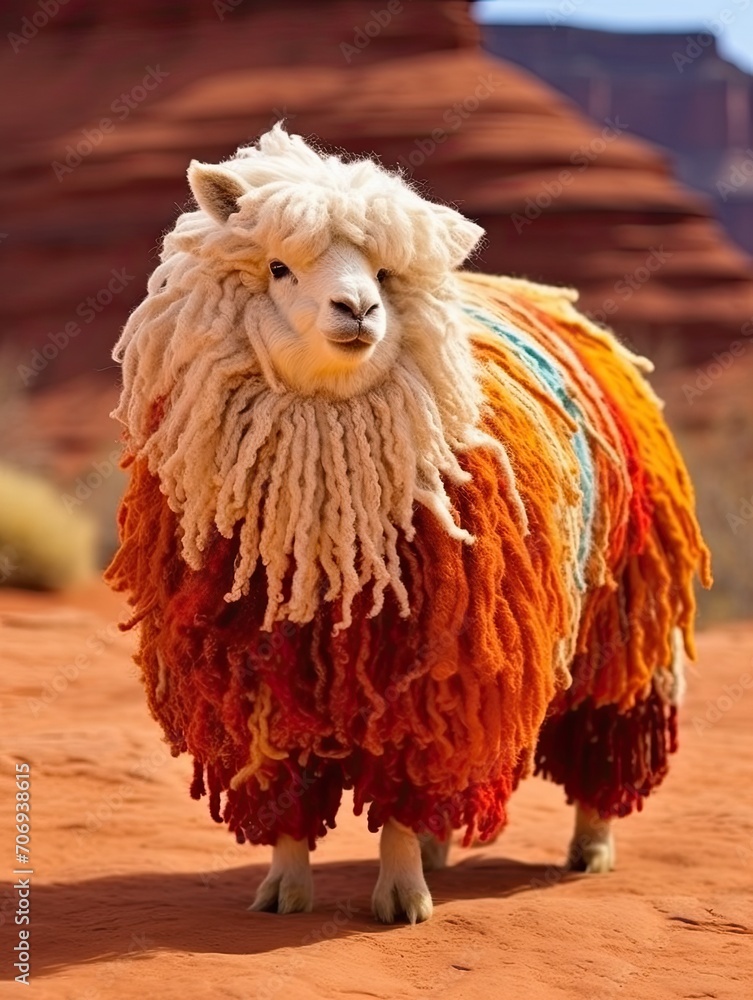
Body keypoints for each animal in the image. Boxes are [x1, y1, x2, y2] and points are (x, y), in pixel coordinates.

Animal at [106, 125, 711, 924]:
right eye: (278, 268)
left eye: (384, 272)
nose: (358, 308)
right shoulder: (255, 661)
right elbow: (283, 774)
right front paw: (285, 887)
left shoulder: (428, 663)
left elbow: (405, 773)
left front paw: (402, 896)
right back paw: (440, 844)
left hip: (618, 613)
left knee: (604, 721)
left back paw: (591, 845)